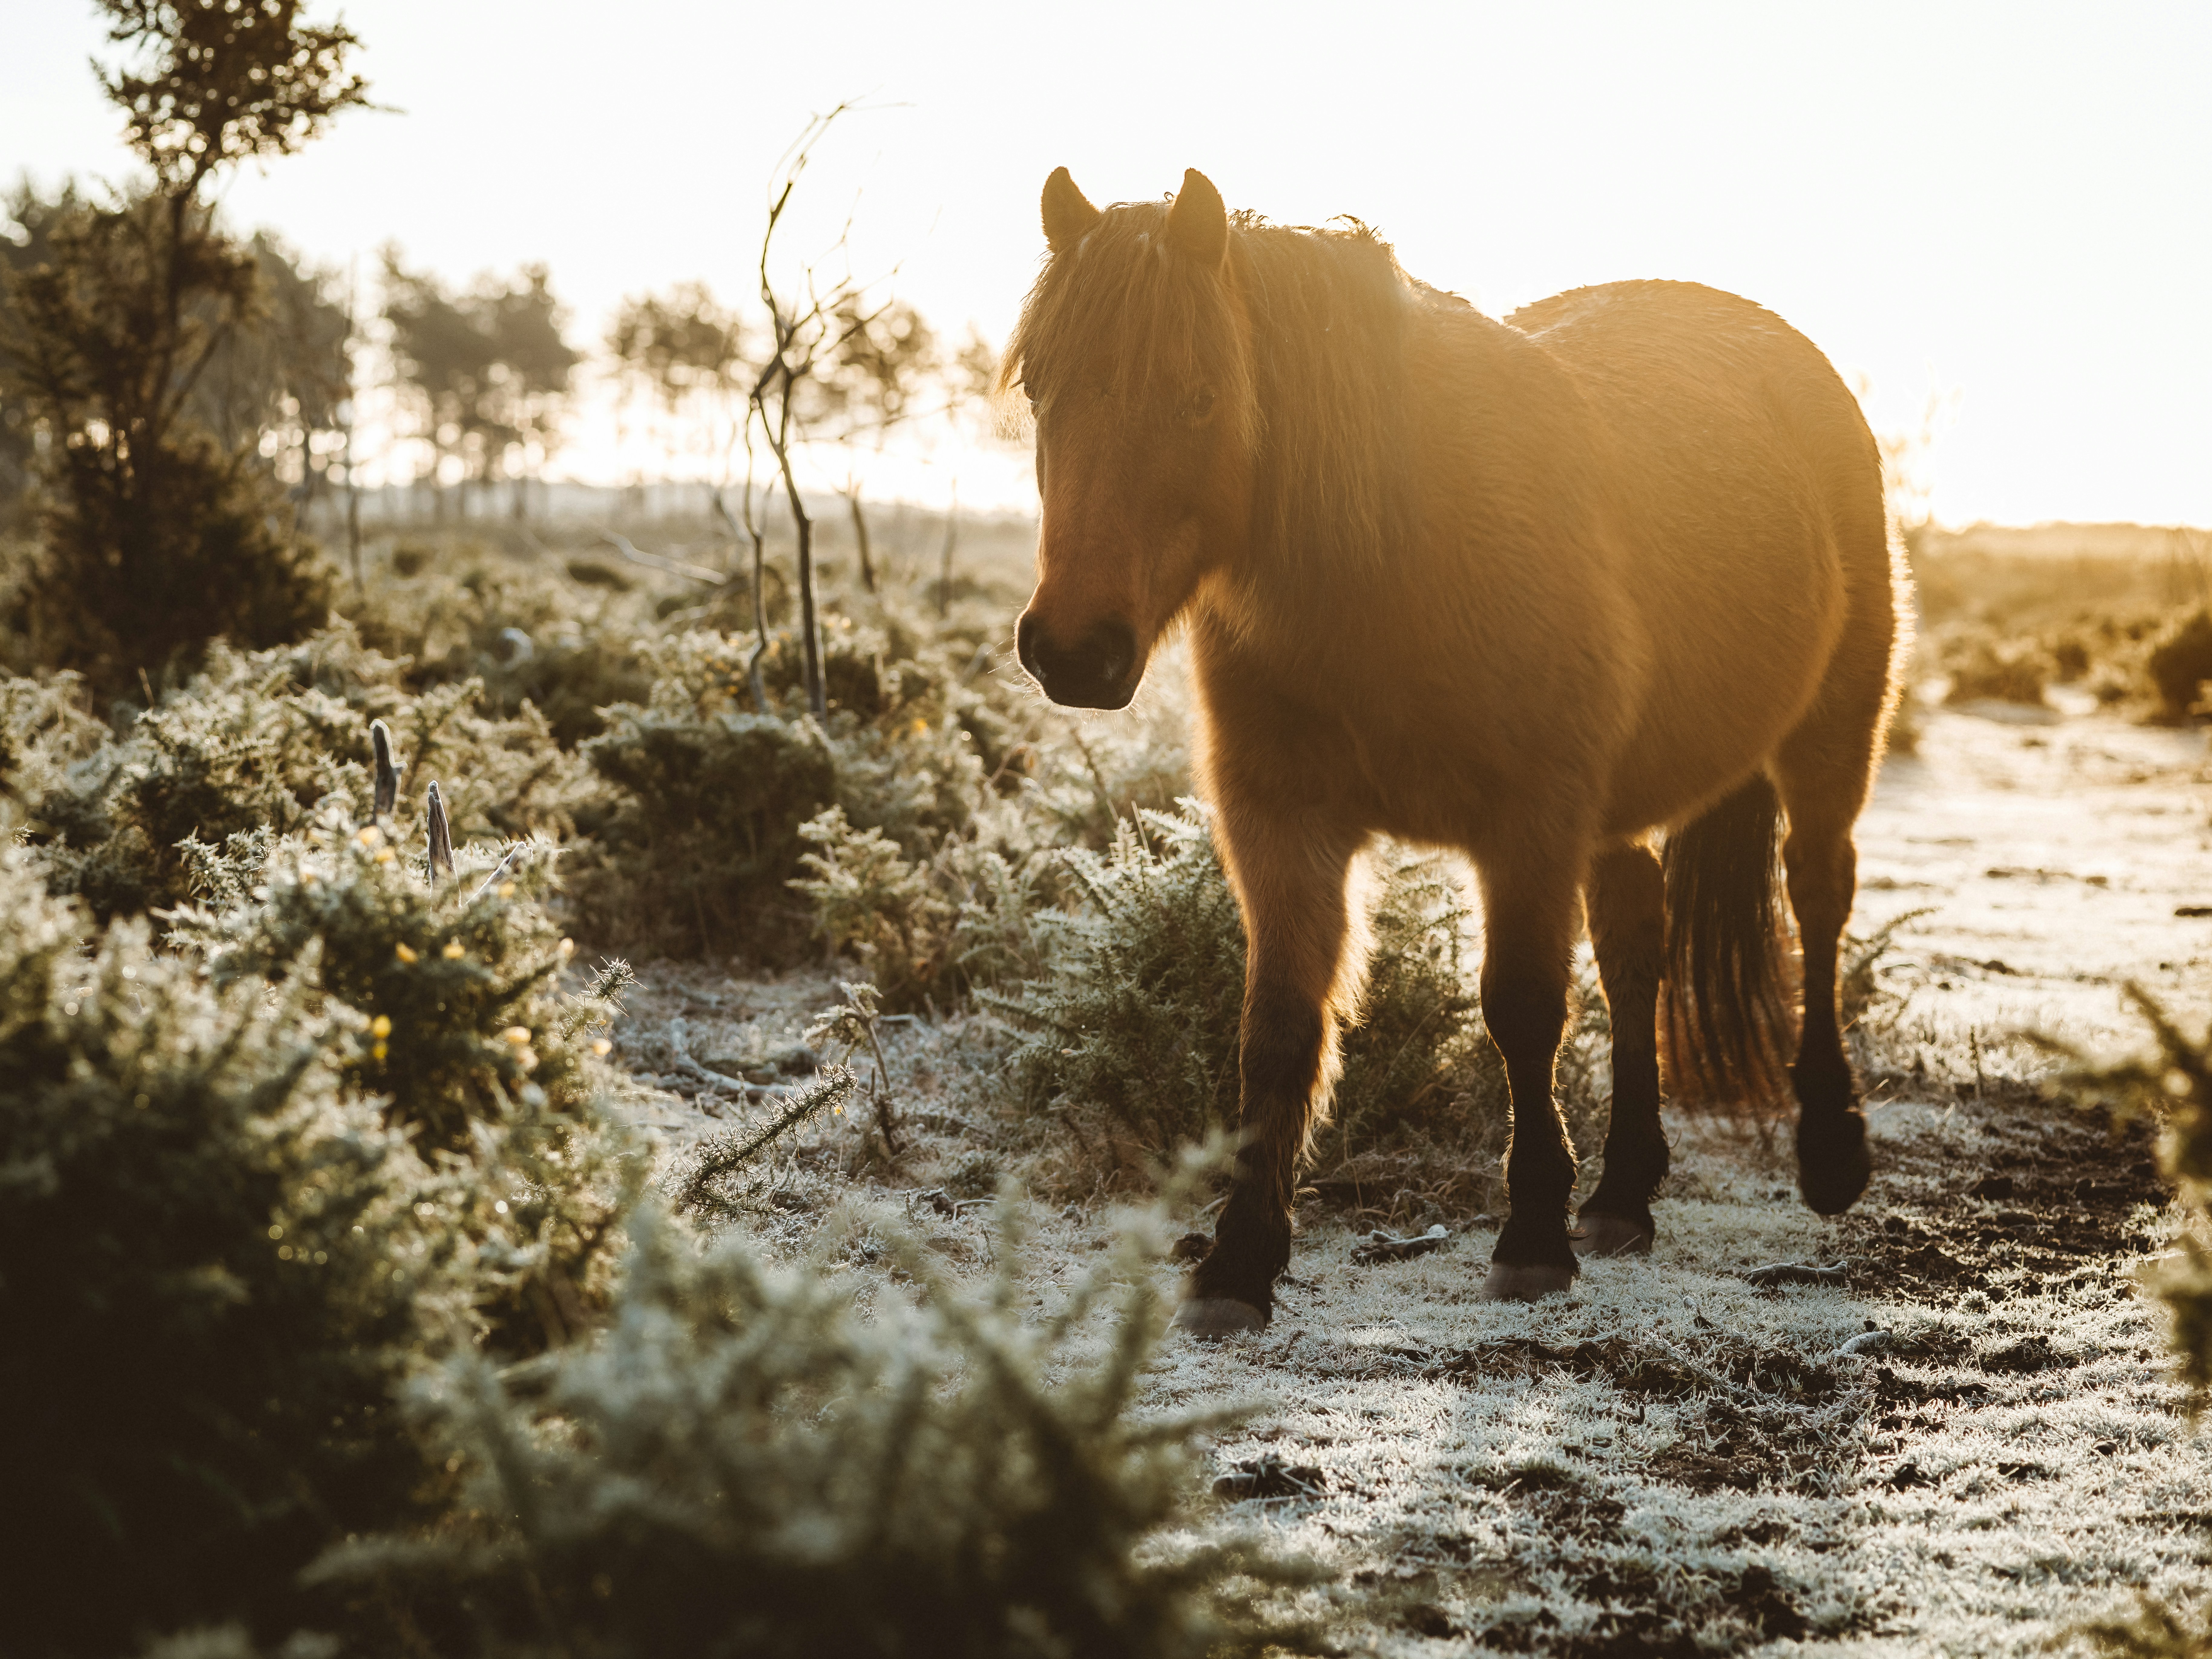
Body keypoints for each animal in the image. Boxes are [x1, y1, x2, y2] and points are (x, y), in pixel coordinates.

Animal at [1001, 167, 1908, 1337]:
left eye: (1196, 396)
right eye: (1041, 389)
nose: (1073, 650)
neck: (1398, 555)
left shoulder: (1528, 826)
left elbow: (1520, 1009)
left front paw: (1528, 1238)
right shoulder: (1281, 822)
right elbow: (1278, 1025)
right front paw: (1239, 1262)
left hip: (1829, 737)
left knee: (1817, 894)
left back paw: (1828, 1151)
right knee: (1637, 945)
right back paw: (1623, 1194)